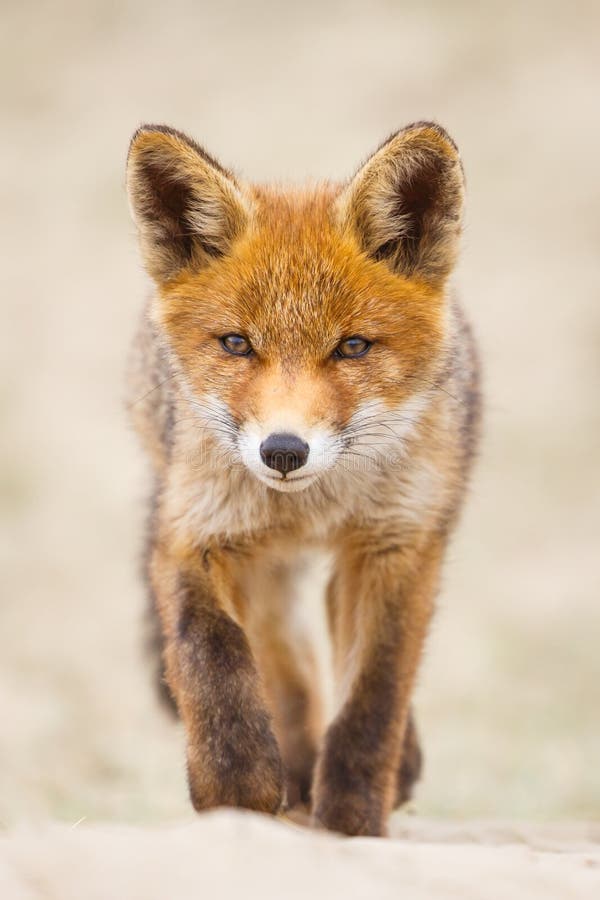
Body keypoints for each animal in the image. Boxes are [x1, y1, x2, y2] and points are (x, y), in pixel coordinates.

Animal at [126, 120, 480, 837]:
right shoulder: (193, 533)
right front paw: (237, 791)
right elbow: (211, 658)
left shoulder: (398, 545)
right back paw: (290, 774)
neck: (312, 507)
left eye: (352, 347)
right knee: (285, 672)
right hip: (264, 568)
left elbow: (374, 698)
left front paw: (352, 819)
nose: (283, 451)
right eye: (237, 344)